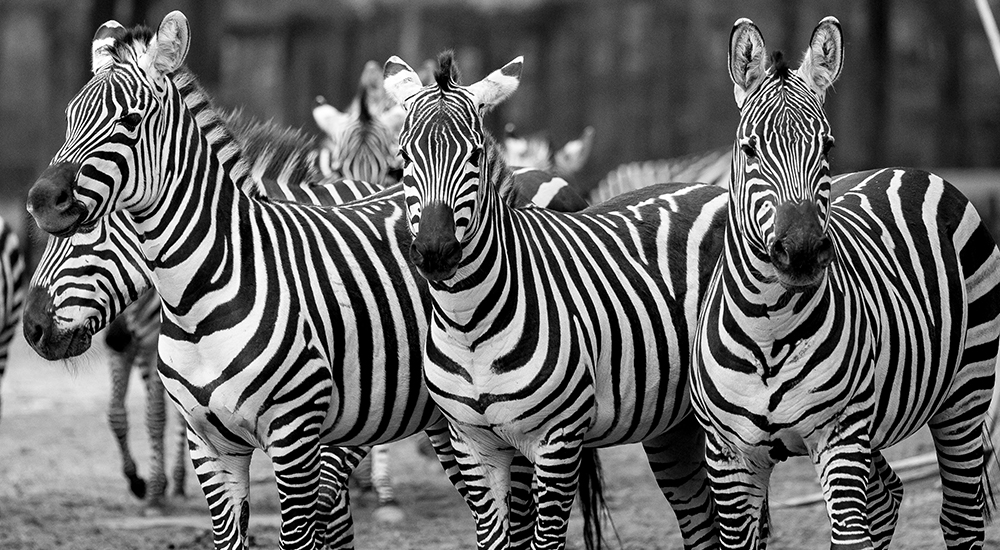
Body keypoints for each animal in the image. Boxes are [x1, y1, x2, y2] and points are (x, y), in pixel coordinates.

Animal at [22, 13, 566, 549]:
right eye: (69, 117)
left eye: (130, 121)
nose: (32, 328)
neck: (202, 299)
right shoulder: (212, 446)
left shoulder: (300, 435)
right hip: (450, 422)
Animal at [383, 51, 728, 550]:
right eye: (404, 158)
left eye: (476, 155)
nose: (435, 251)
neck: (468, 325)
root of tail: (710, 188)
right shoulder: (472, 444)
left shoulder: (558, 442)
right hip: (673, 422)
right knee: (701, 522)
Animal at [690, 17, 1000, 549]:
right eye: (750, 149)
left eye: (828, 146)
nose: (801, 251)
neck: (767, 327)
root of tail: (906, 170)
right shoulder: (728, 457)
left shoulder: (840, 433)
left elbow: (852, 536)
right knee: (888, 498)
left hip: (967, 390)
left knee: (959, 517)